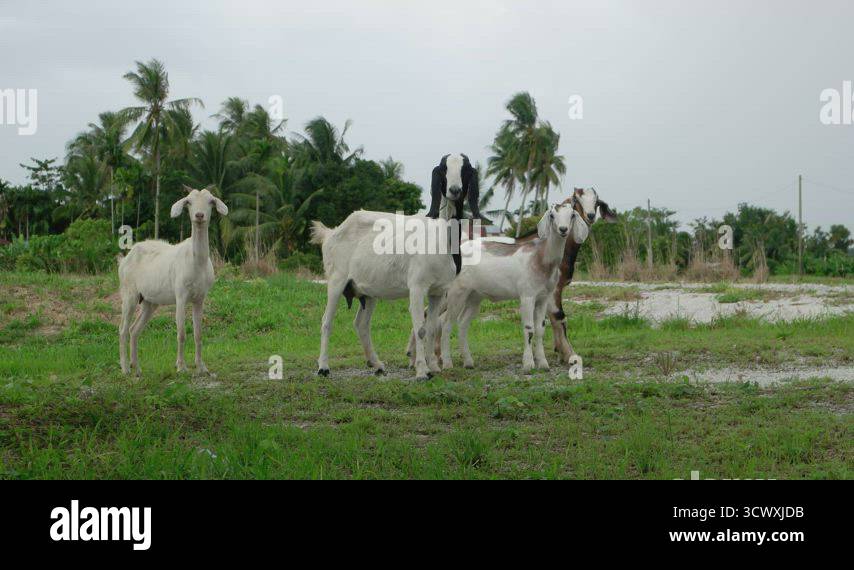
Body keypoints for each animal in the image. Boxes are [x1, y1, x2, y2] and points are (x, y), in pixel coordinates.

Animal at [118, 186, 228, 376]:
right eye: (189, 201)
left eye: (211, 201)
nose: (199, 215)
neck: (196, 262)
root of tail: (125, 259)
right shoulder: (181, 296)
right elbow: (181, 333)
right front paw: (181, 367)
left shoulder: (200, 298)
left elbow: (198, 333)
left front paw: (202, 367)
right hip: (129, 294)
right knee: (123, 330)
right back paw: (125, 369)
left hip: (149, 302)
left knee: (134, 330)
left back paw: (137, 369)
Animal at [310, 210, 457, 381]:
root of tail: (330, 233)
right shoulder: (417, 287)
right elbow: (420, 329)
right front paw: (422, 371)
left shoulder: (438, 292)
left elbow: (431, 328)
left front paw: (433, 367)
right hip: (336, 280)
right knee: (326, 321)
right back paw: (323, 367)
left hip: (368, 291)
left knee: (361, 324)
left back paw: (377, 364)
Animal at [435, 202, 587, 372]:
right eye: (552, 215)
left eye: (572, 215)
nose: (563, 229)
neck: (540, 258)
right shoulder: (527, 296)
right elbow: (529, 328)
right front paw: (528, 364)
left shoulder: (543, 298)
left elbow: (540, 329)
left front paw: (543, 363)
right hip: (456, 293)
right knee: (446, 324)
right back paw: (447, 363)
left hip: (474, 296)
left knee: (462, 323)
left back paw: (468, 362)